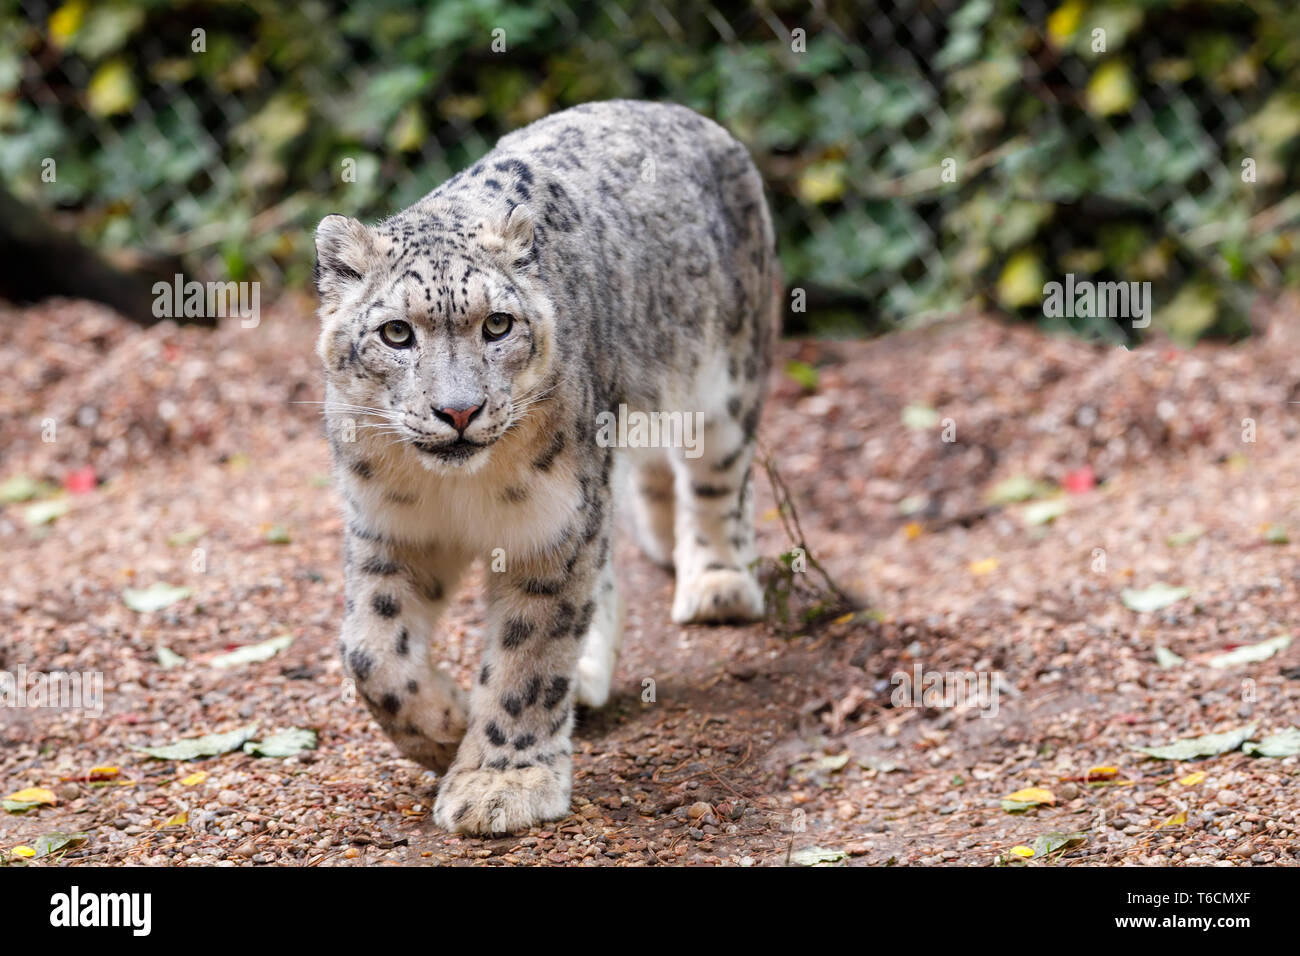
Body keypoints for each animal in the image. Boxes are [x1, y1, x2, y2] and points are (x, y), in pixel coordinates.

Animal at [313, 99, 778, 835]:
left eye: (498, 325)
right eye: (396, 333)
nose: (459, 411)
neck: (457, 493)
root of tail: (677, 111)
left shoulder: (549, 528)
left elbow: (528, 656)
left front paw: (501, 783)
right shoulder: (390, 528)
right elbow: (371, 650)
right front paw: (445, 725)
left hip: (727, 378)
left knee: (717, 481)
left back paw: (717, 585)